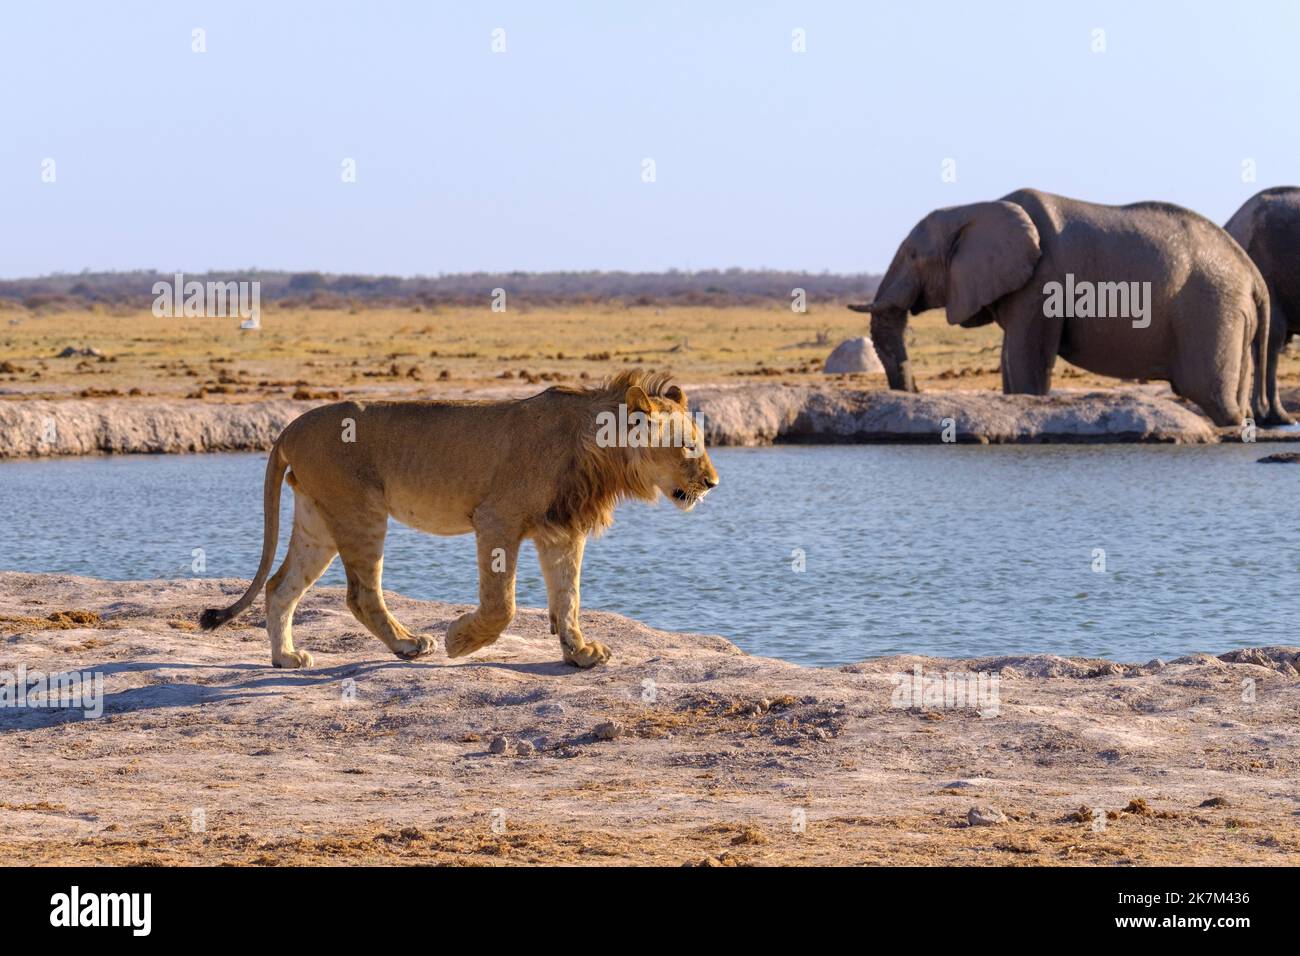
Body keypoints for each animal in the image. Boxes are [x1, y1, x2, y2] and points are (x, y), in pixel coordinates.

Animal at [199, 370, 719, 669]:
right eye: (689, 444)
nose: (713, 483)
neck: (602, 449)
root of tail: (290, 426)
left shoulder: (562, 531)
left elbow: (568, 596)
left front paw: (579, 652)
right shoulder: (496, 519)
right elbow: (502, 605)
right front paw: (460, 640)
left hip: (318, 520)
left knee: (279, 586)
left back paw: (285, 657)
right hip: (360, 512)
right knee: (360, 594)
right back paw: (410, 645)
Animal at [849, 188, 1271, 427]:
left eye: (913, 255)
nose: (914, 392)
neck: (973, 209)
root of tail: (1254, 275)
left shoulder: (1042, 280)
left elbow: (1027, 360)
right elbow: (1011, 359)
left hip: (1211, 308)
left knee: (1210, 392)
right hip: (1231, 312)